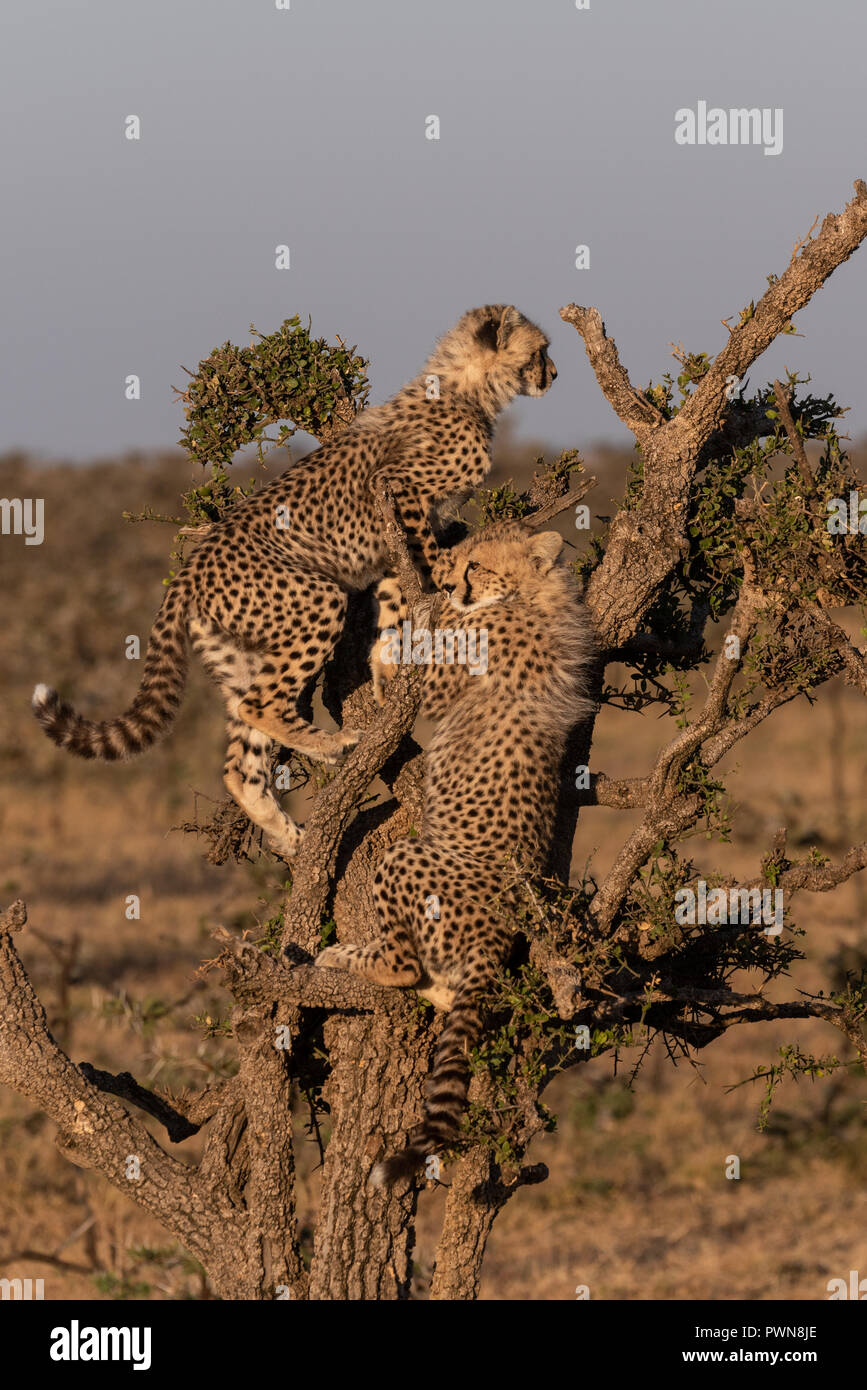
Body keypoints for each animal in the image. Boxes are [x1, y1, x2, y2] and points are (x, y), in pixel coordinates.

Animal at [31, 306, 556, 863]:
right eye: (539, 350)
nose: (554, 373)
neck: (467, 389)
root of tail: (190, 569)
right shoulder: (399, 490)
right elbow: (430, 561)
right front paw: (446, 593)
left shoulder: (389, 543)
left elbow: (395, 602)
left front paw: (387, 667)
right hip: (315, 600)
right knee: (259, 704)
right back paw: (331, 747)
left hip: (242, 655)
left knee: (238, 761)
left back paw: (291, 836)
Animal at [314, 522, 598, 1184]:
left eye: (475, 565)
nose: (447, 583)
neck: (531, 599)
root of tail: (502, 927)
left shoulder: (446, 681)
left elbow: (407, 658)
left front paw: (394, 628)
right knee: (437, 984)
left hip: (407, 860)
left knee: (403, 963)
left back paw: (344, 958)